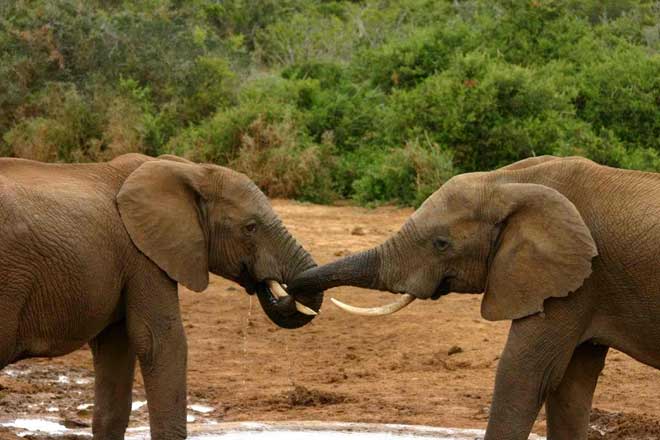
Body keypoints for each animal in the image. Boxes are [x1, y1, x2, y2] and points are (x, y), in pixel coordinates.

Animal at [290, 156, 660, 440]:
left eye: (441, 244)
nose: (291, 297)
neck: (508, 182)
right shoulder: (577, 284)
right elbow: (570, 386)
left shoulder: (577, 282)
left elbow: (525, 375)